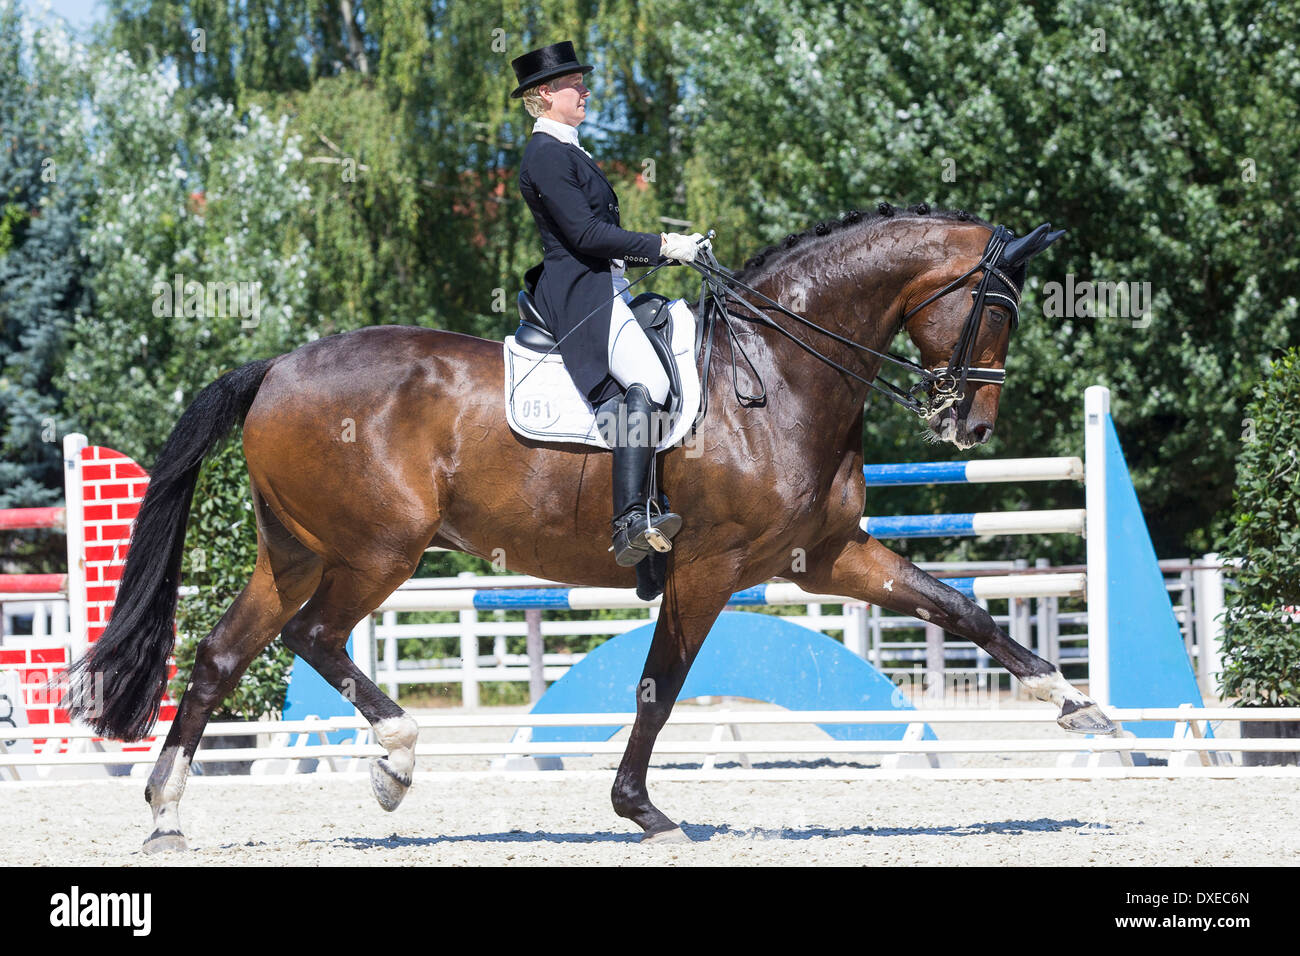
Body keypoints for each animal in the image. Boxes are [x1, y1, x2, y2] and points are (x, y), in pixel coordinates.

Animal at [63, 203, 1116, 851]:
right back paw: (395, 759)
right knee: (315, 637)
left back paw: (166, 814)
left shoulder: (826, 557)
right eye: (995, 309)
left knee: (220, 656)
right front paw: (641, 809)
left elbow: (959, 610)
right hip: (377, 550)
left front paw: (1077, 705)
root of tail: (276, 368)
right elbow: (660, 686)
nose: (969, 427)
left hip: (297, 551)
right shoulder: (707, 569)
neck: (778, 373)